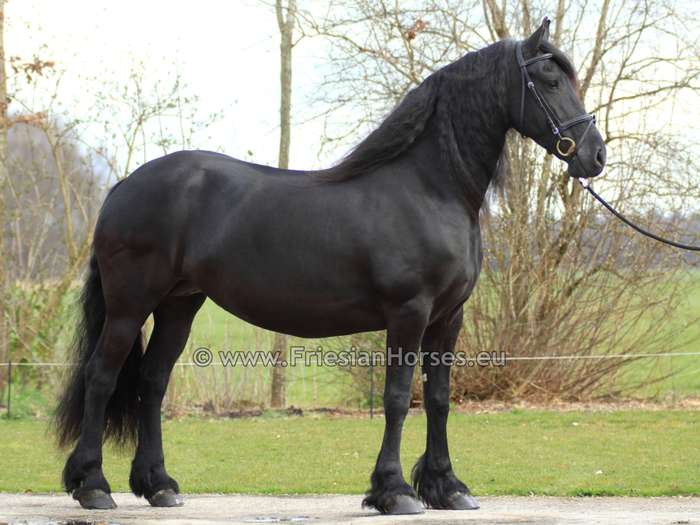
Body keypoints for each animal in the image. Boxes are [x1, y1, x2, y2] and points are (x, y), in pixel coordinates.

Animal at [55, 18, 605, 515]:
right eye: (550, 80)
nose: (595, 155)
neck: (431, 189)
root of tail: (122, 186)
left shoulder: (449, 318)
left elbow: (439, 397)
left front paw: (447, 487)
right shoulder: (409, 313)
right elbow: (397, 396)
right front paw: (395, 491)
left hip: (179, 305)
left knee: (151, 381)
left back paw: (159, 485)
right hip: (131, 306)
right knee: (103, 376)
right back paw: (93, 486)